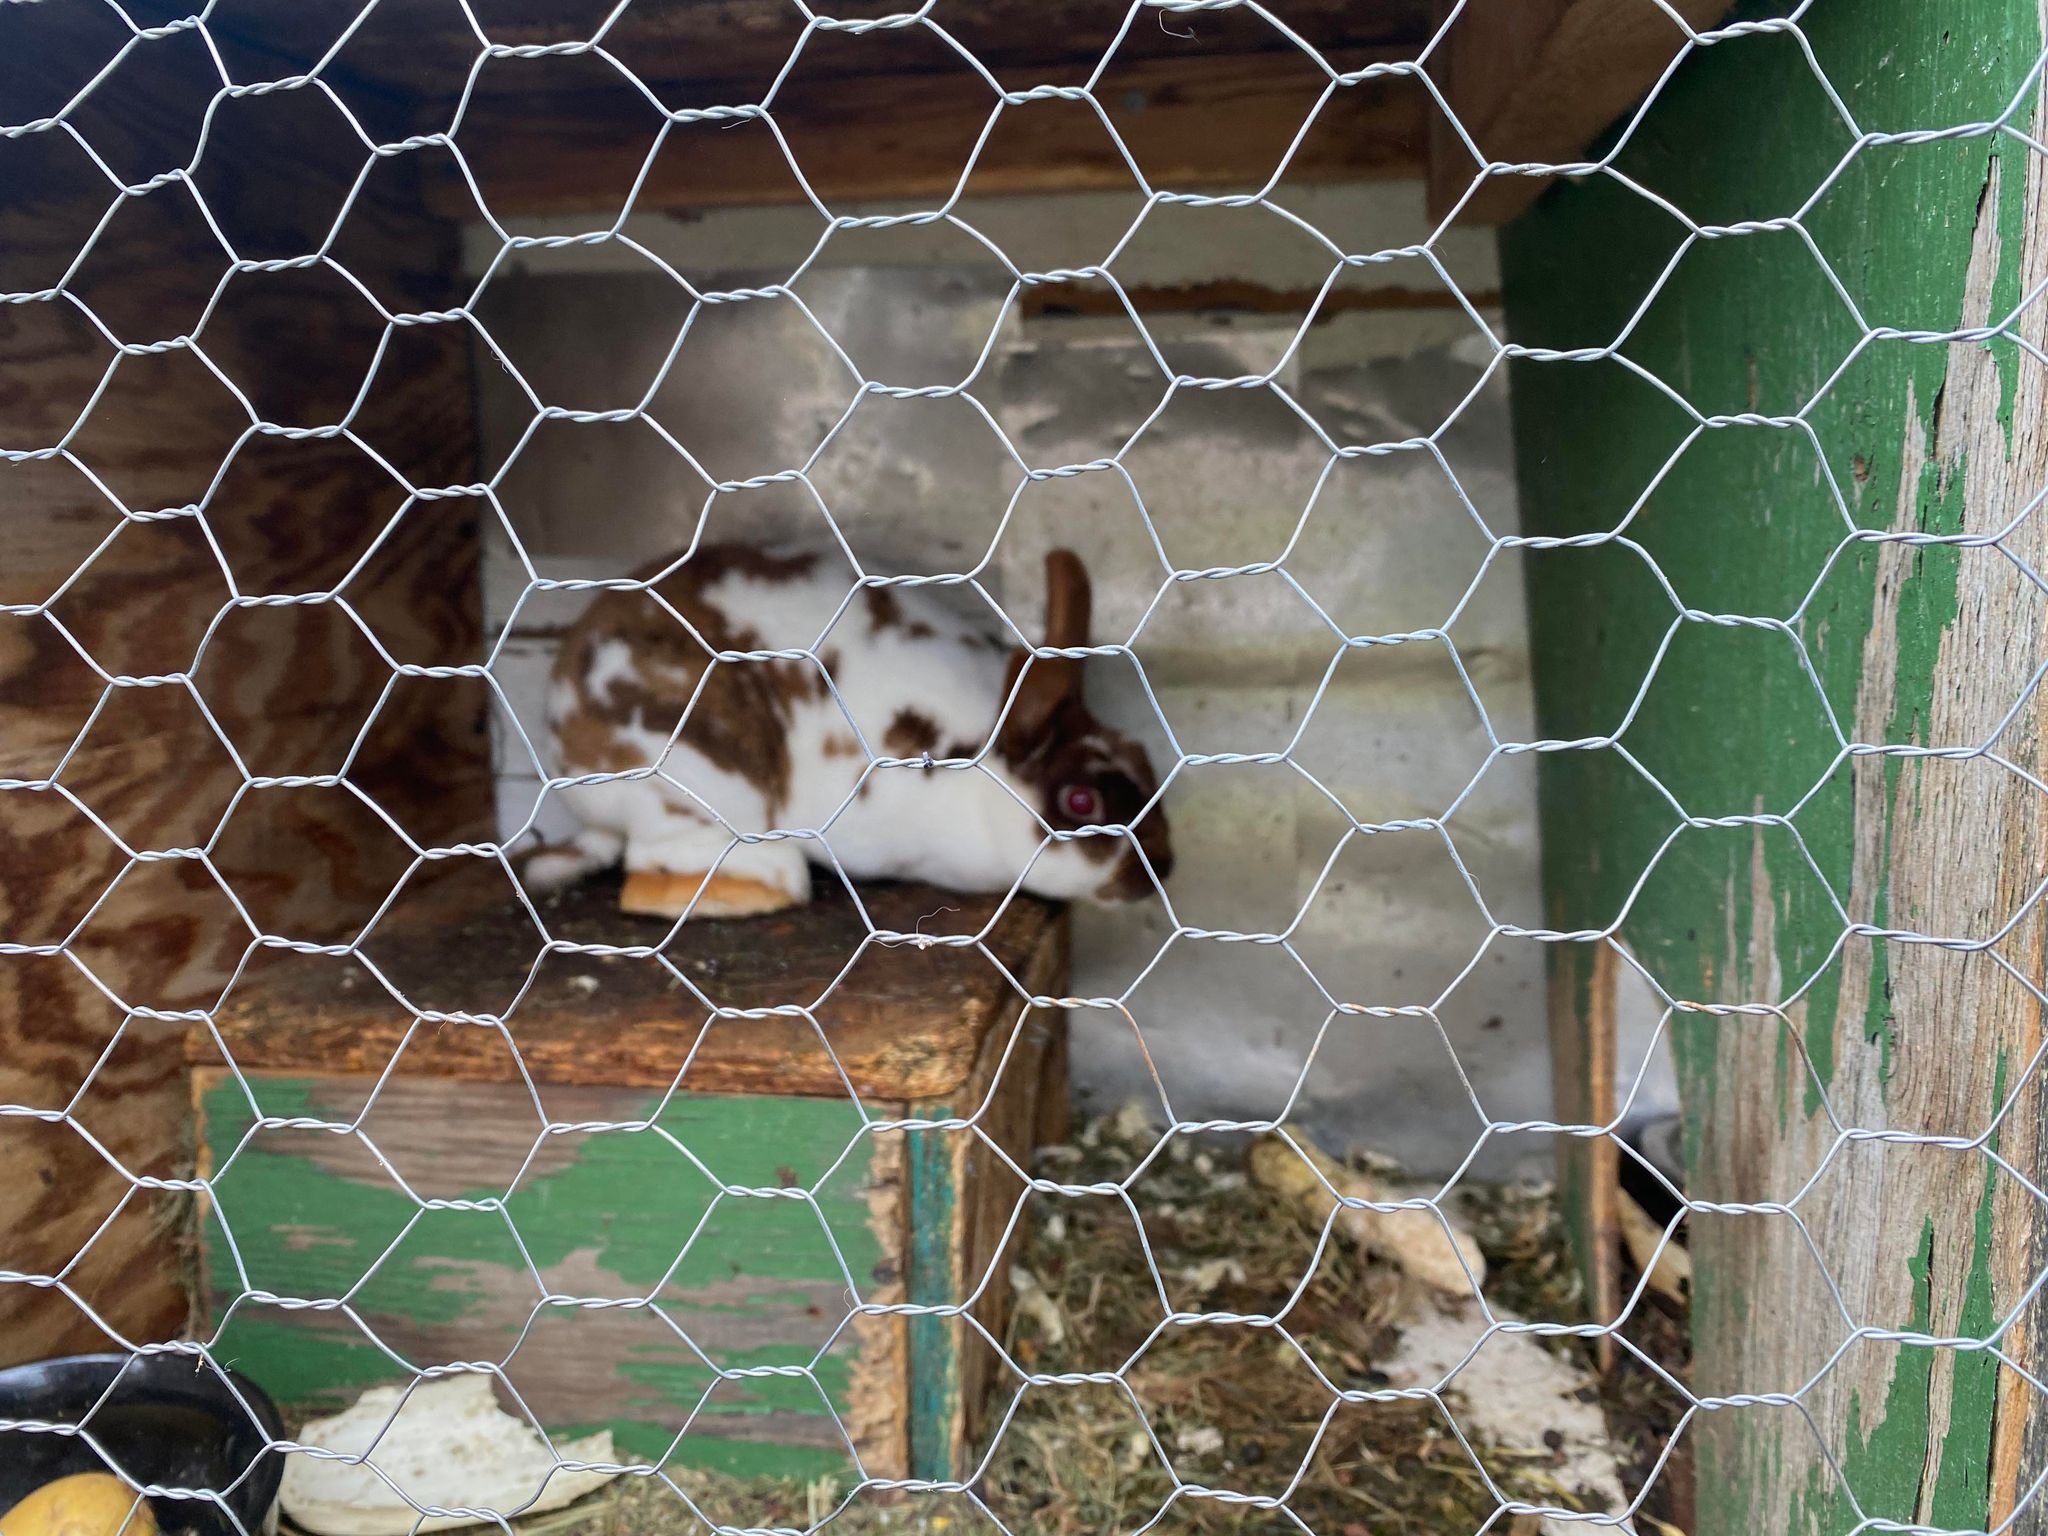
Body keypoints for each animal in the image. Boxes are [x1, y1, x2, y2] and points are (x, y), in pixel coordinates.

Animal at [521, 540, 1173, 919]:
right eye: (1081, 801)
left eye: (1143, 756)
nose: (1159, 870)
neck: (975, 771)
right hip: (703, 776)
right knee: (652, 854)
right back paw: (776, 876)